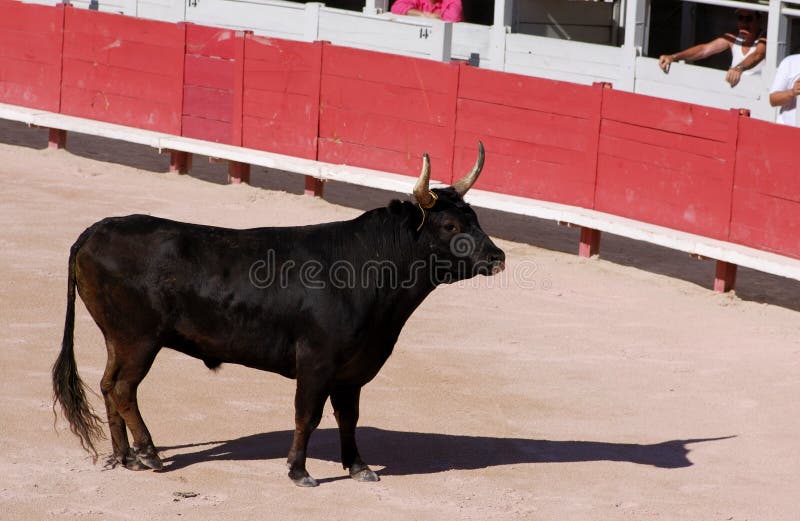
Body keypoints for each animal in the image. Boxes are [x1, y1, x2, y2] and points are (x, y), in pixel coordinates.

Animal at [52, 142, 505, 487]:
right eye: (449, 226)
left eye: (476, 219)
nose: (497, 257)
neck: (368, 267)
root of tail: (96, 230)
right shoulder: (317, 362)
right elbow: (308, 414)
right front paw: (299, 471)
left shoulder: (353, 369)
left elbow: (349, 417)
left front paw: (359, 467)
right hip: (139, 339)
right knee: (123, 388)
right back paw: (148, 453)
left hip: (118, 338)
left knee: (108, 385)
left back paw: (125, 457)